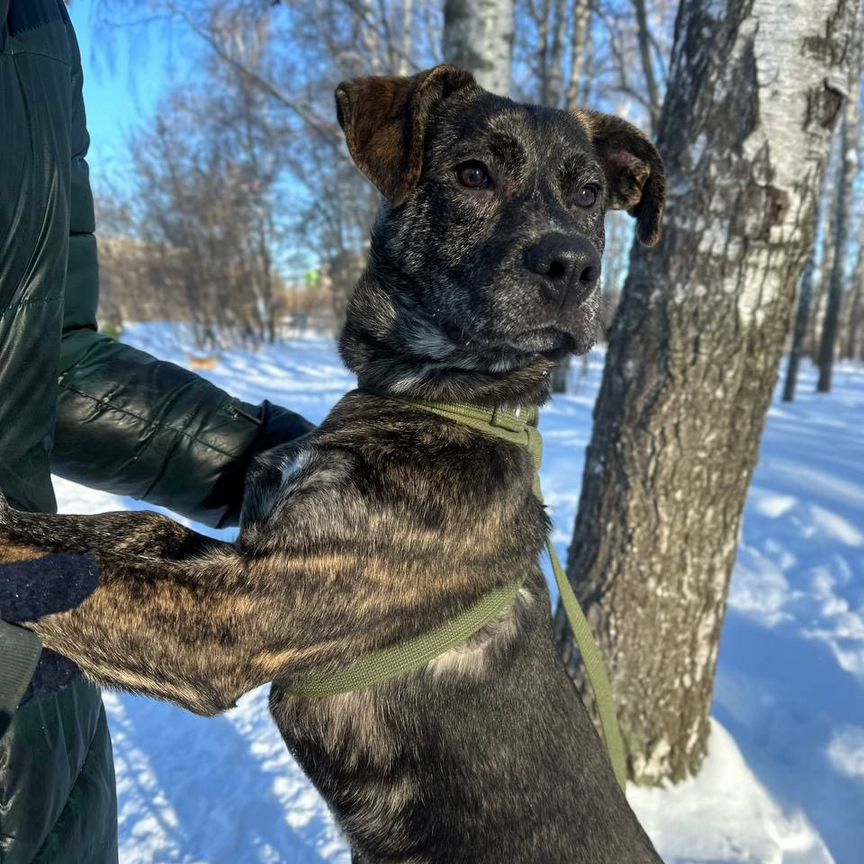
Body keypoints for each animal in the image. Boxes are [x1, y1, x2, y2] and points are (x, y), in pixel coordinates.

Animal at [0, 64, 664, 860]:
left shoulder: (228, 620)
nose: (575, 266)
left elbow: (68, 568)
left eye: (589, 193)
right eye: (473, 174)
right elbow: (115, 534)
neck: (440, 399)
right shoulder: (237, 558)